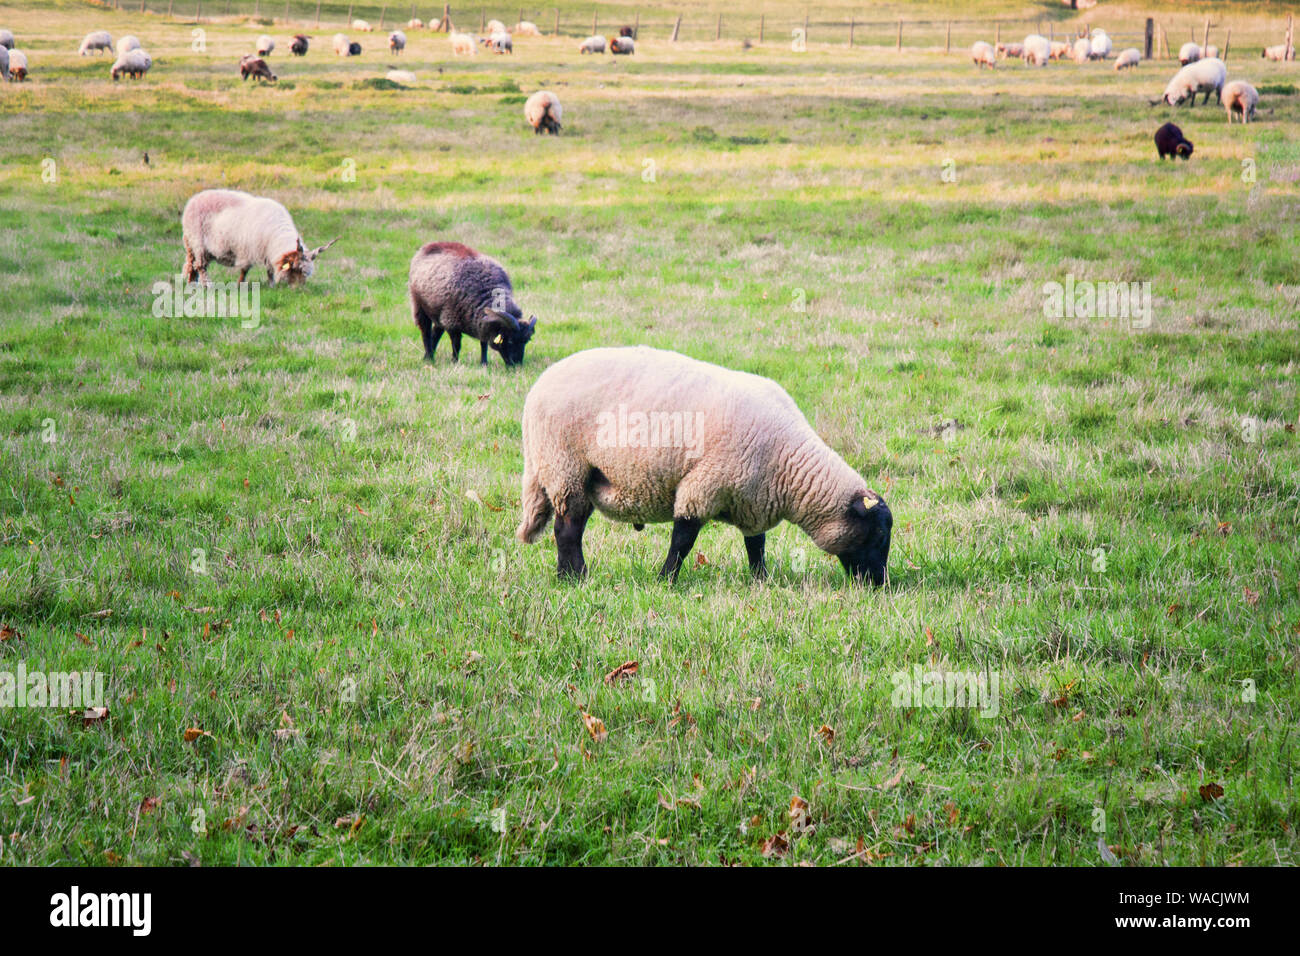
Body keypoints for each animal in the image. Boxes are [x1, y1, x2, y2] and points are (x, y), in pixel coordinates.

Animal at [181, 189, 338, 287]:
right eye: (296, 268)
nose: (298, 290)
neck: (276, 236)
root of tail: (192, 200)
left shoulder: (267, 252)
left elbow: (269, 270)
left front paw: (271, 285)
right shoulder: (248, 250)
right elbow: (245, 270)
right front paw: (240, 285)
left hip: (191, 244)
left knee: (191, 265)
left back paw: (191, 284)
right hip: (198, 243)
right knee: (200, 266)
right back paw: (207, 285)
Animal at [408, 241, 537, 367]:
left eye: (526, 341)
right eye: (510, 340)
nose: (517, 365)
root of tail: (430, 245)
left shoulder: (481, 323)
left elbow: (483, 343)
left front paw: (484, 363)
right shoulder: (451, 321)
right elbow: (456, 344)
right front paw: (454, 362)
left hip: (439, 313)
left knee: (436, 332)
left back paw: (430, 356)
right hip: (419, 305)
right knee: (425, 332)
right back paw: (428, 357)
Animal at [514, 346, 894, 584]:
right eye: (877, 534)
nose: (880, 584)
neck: (788, 459)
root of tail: (538, 387)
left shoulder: (751, 499)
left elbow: (756, 546)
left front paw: (761, 580)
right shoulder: (702, 486)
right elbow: (682, 542)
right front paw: (665, 581)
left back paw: (568, 575)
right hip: (565, 466)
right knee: (567, 529)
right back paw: (575, 577)